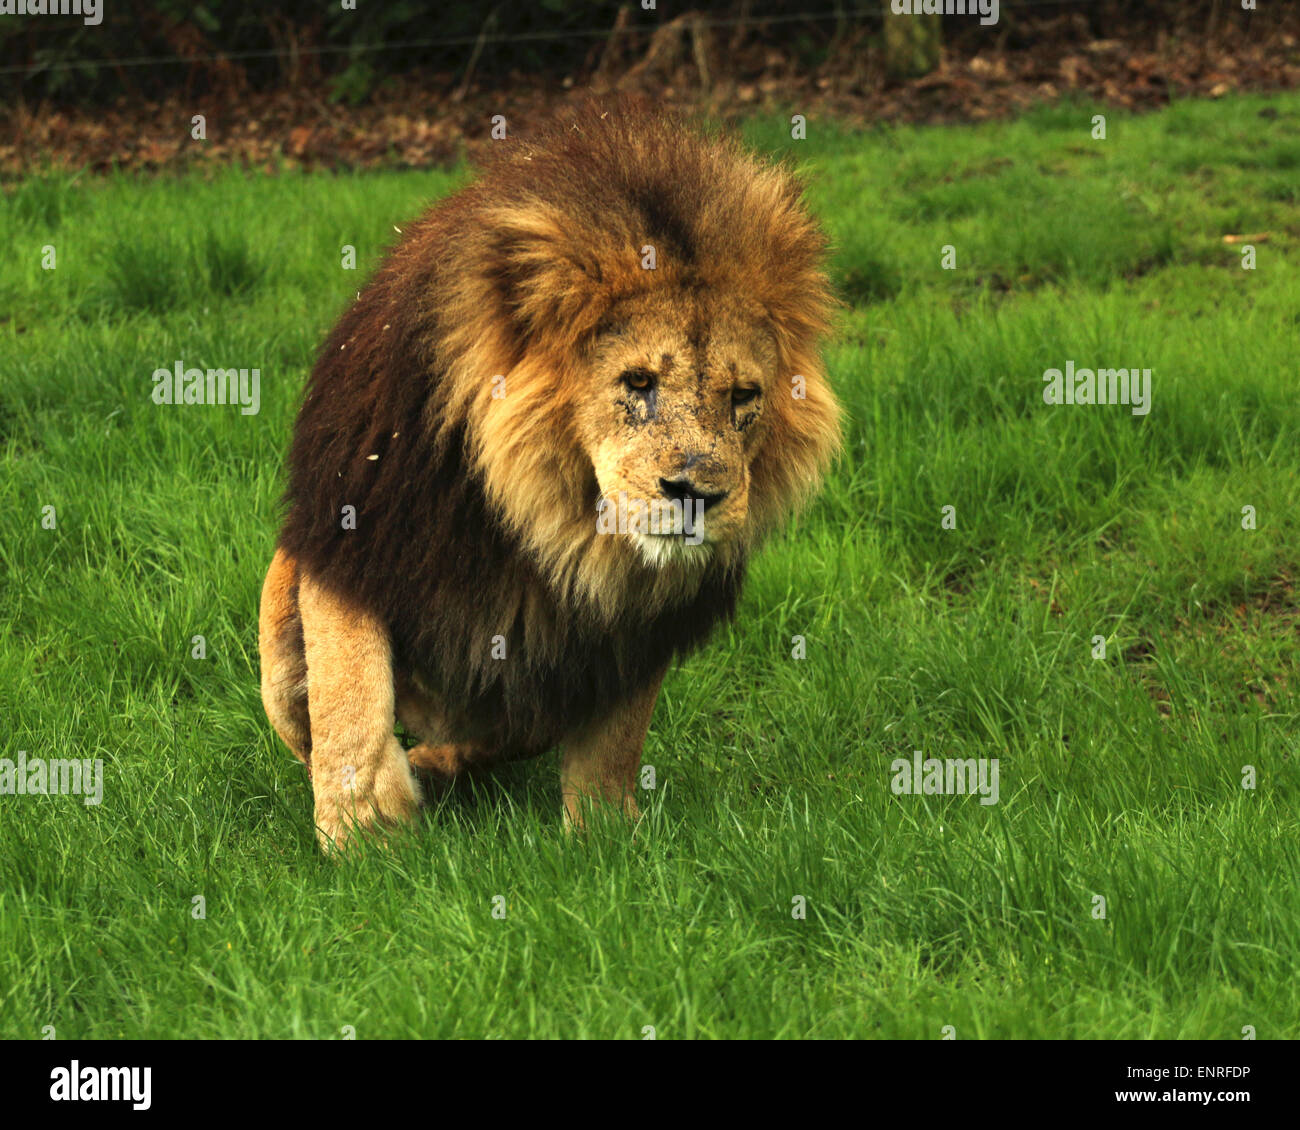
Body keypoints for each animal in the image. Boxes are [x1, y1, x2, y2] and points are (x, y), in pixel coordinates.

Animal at [259, 98, 840, 853]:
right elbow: (349, 686)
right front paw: (367, 831)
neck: (551, 513)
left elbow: (612, 741)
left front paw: (602, 835)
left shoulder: (639, 623)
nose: (696, 495)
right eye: (638, 381)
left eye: (744, 396)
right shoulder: (357, 528)